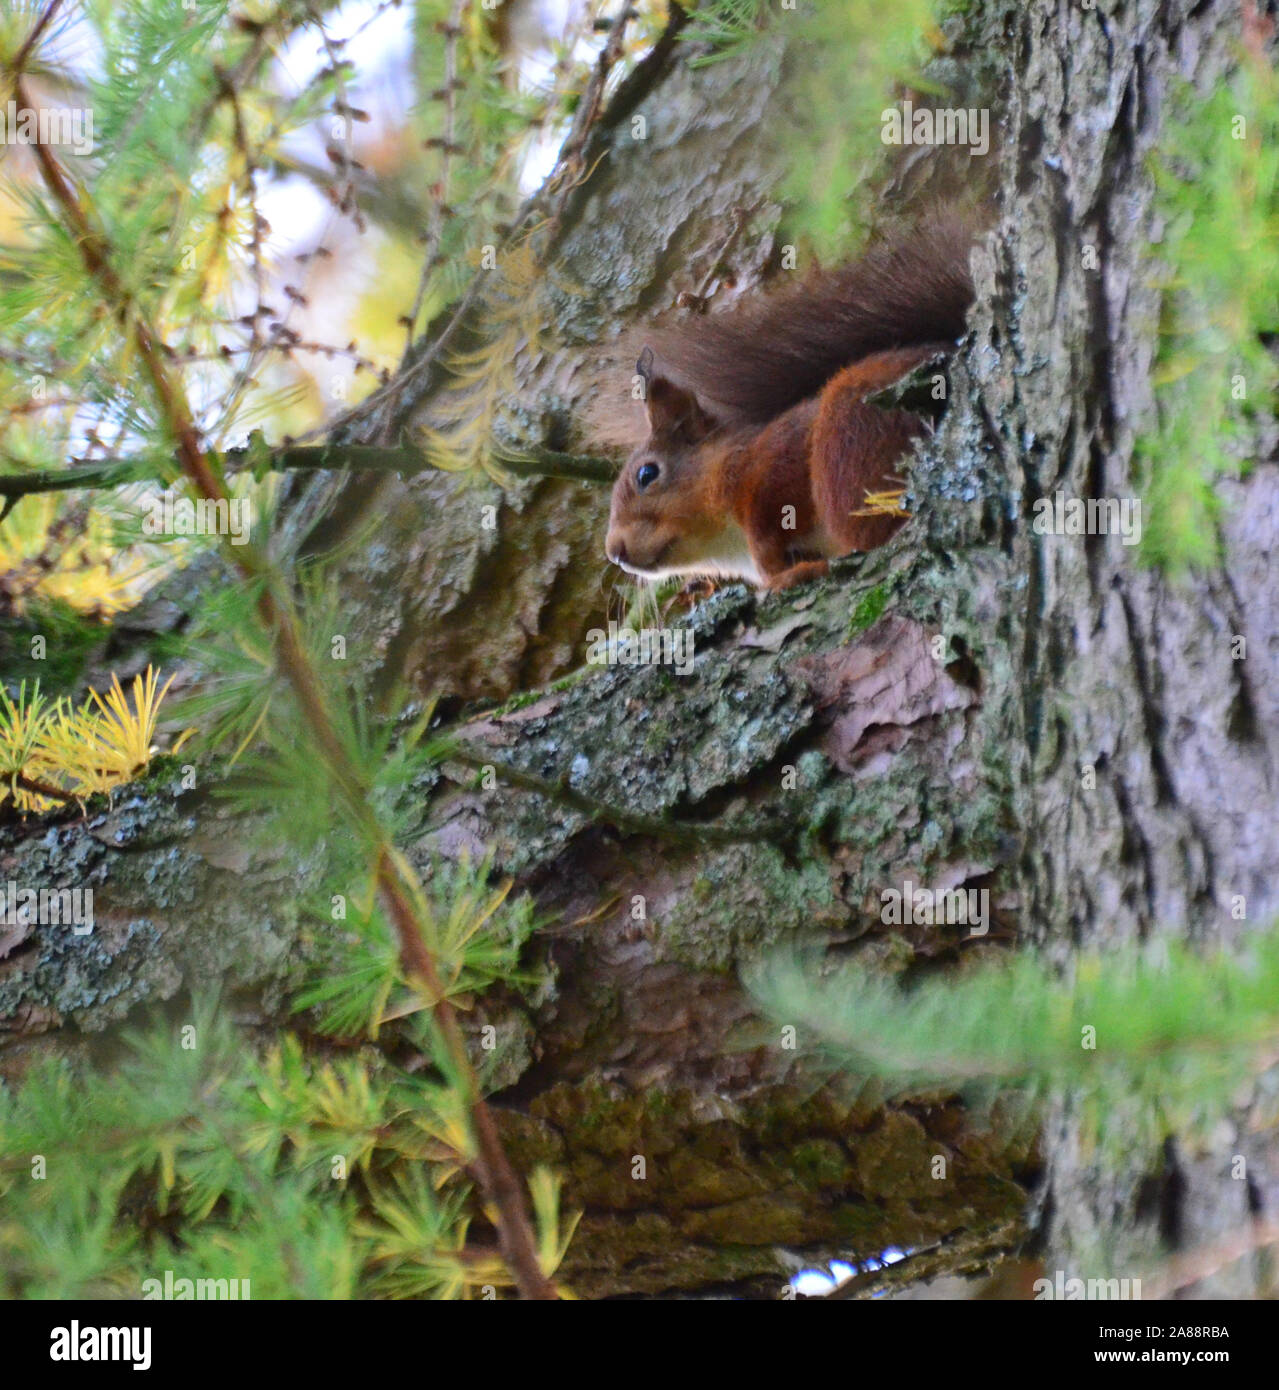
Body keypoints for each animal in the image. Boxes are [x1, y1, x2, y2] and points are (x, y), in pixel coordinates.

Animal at [604, 209, 977, 591]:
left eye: (647, 473)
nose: (615, 552)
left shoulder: (775, 461)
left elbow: (769, 521)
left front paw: (779, 573)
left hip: (849, 436)